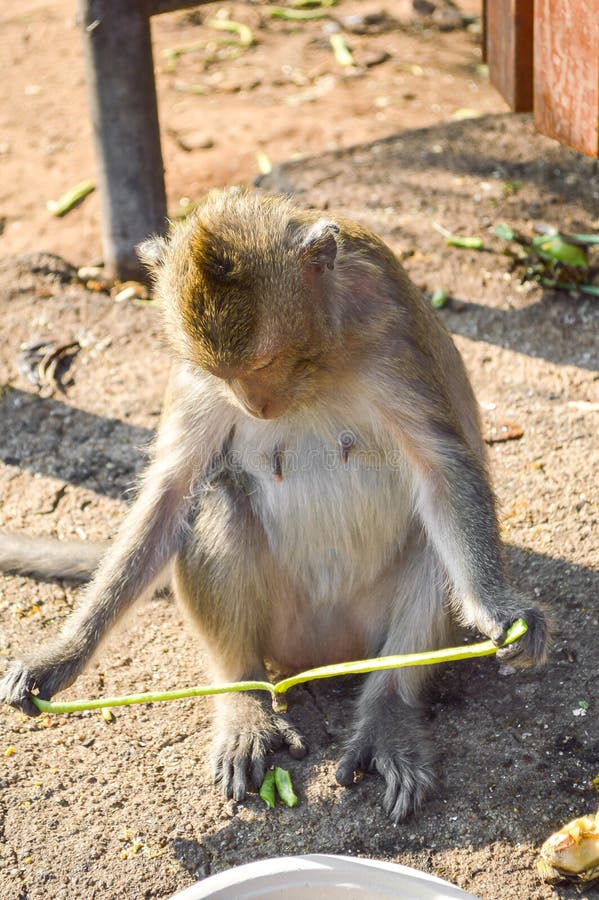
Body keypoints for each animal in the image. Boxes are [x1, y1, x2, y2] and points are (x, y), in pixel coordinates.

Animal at [0, 188, 548, 821]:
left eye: (263, 363)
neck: (317, 361)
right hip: (283, 631)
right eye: (221, 372)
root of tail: (319, 654)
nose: (255, 405)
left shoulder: (390, 328)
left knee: (434, 539)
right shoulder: (193, 376)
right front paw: (61, 656)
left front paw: (501, 611)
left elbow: (443, 470)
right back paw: (244, 703)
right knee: (218, 500)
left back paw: (387, 711)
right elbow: (171, 493)